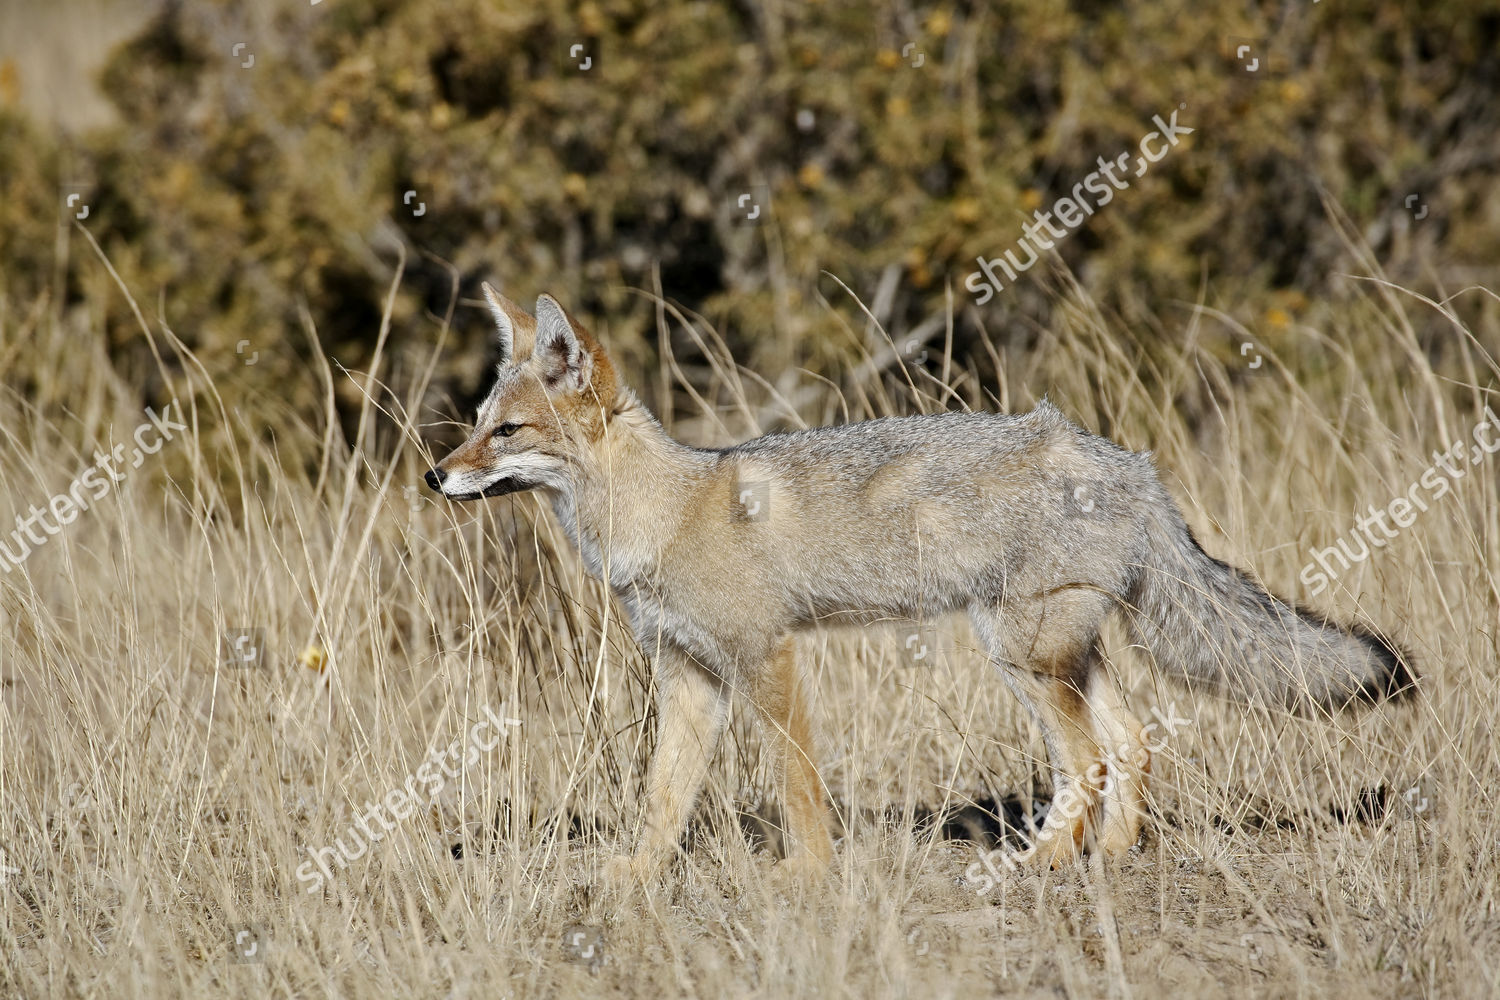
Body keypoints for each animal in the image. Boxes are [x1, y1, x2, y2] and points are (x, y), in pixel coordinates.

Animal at [425, 285, 1416, 884]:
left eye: (506, 432)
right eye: (473, 424)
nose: (434, 477)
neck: (661, 513)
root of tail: (1129, 464)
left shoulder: (765, 659)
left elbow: (797, 785)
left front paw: (811, 877)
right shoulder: (691, 677)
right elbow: (662, 803)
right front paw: (632, 881)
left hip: (1020, 654)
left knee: (1090, 760)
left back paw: (1041, 865)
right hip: (1057, 653)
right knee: (1130, 743)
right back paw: (1108, 856)